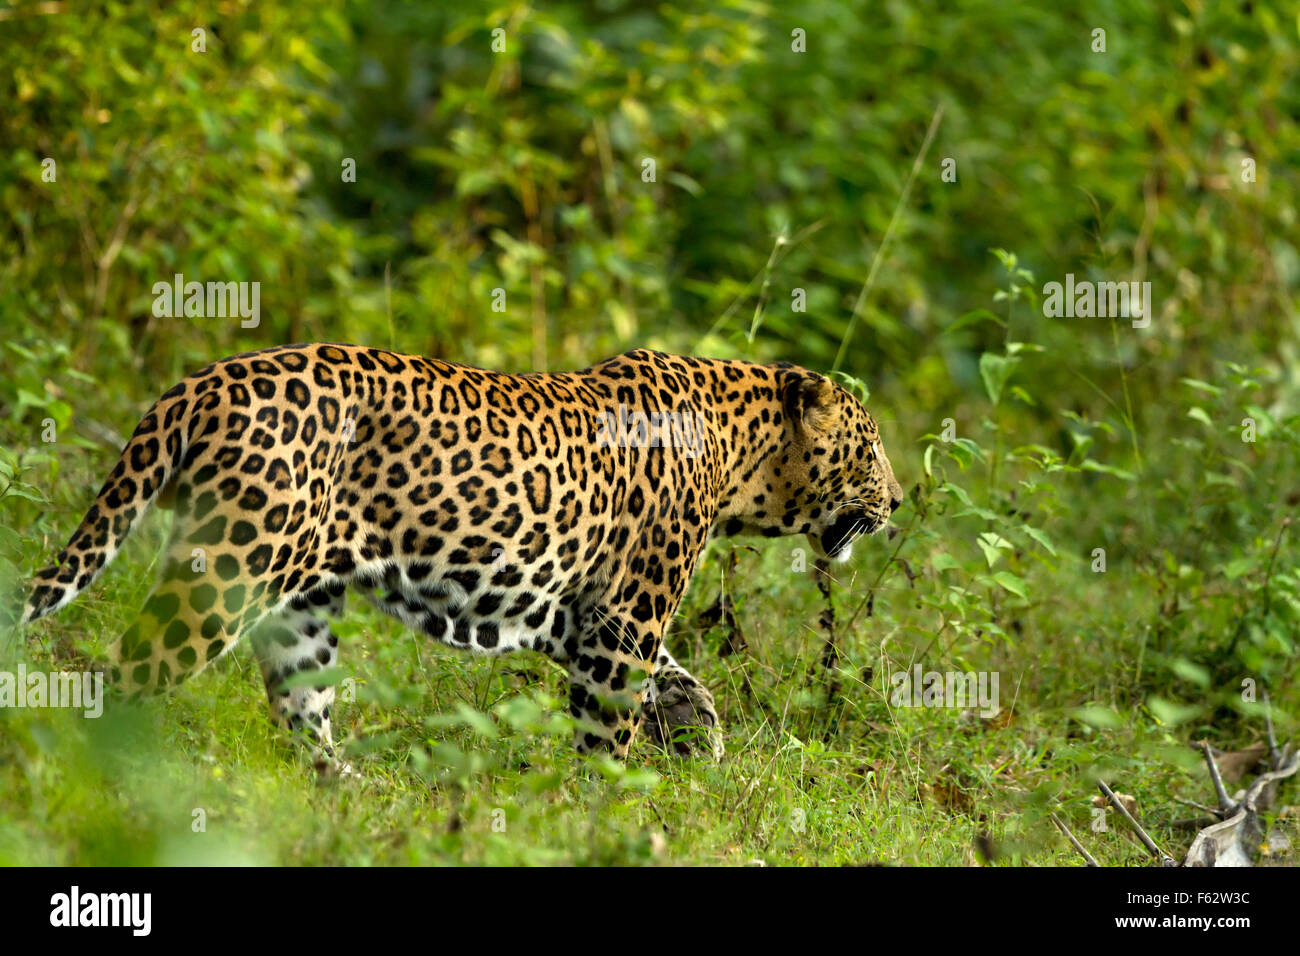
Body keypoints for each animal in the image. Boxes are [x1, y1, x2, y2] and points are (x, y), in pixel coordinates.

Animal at [21, 344, 903, 766]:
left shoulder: (584, 617)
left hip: (300, 601)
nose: (897, 503)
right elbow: (608, 730)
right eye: (869, 449)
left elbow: (681, 680)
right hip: (229, 573)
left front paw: (699, 740)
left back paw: (347, 795)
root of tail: (199, 383)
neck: (740, 451)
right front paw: (601, 809)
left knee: (303, 710)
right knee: (117, 679)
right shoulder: (626, 617)